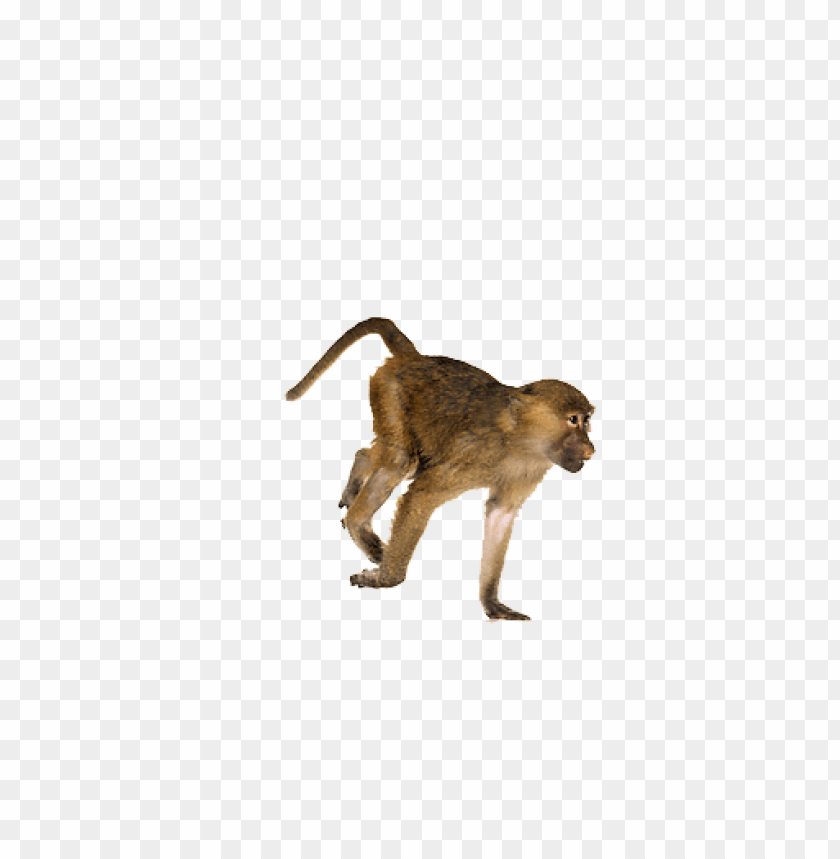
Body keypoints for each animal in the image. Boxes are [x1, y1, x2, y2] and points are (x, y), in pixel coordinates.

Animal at [285, 318, 596, 620]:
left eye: (586, 420)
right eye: (573, 420)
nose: (589, 450)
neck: (517, 438)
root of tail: (414, 359)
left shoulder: (529, 469)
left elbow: (500, 514)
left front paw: (492, 603)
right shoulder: (474, 451)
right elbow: (421, 495)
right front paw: (387, 579)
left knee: (391, 457)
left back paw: (360, 468)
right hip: (387, 389)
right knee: (401, 460)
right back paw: (357, 523)